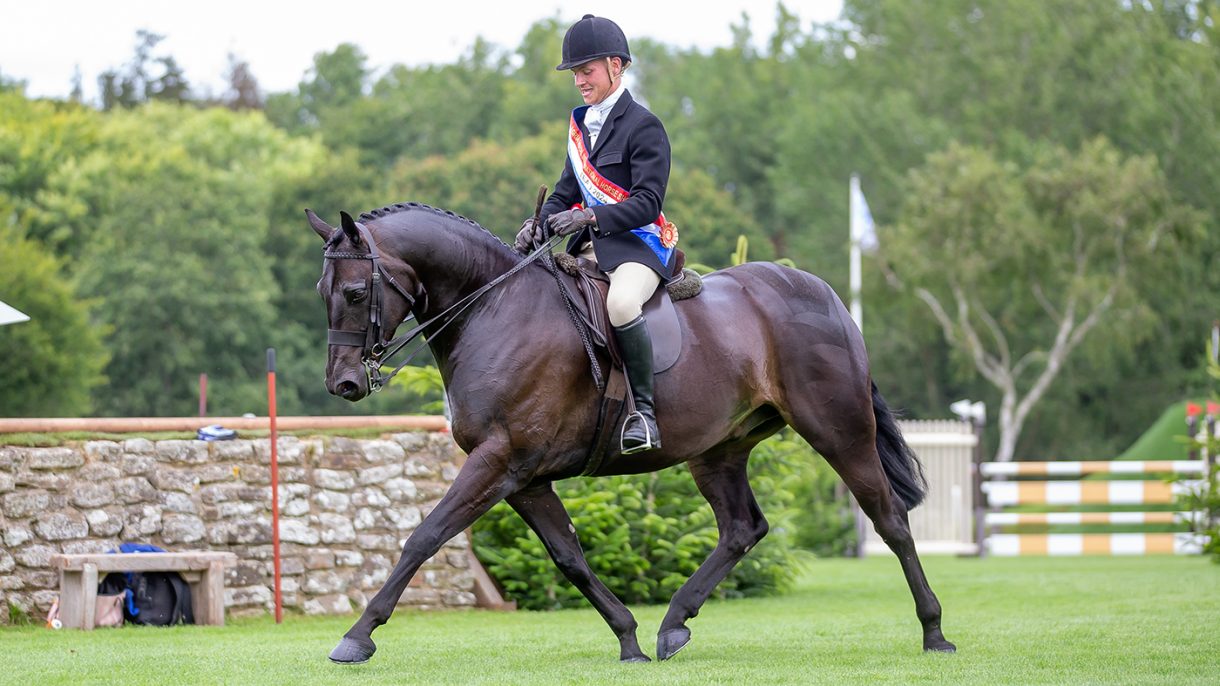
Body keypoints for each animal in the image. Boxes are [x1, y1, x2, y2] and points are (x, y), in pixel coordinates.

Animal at [307, 203, 955, 664]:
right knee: (742, 528)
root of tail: (825, 295)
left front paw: (357, 636)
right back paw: (673, 625)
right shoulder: (524, 477)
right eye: (322, 293)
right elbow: (569, 558)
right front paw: (629, 639)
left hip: (839, 430)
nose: (343, 383)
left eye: (356, 292)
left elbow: (425, 537)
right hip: (718, 451)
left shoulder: (497, 461)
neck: (494, 311)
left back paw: (934, 632)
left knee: (889, 518)